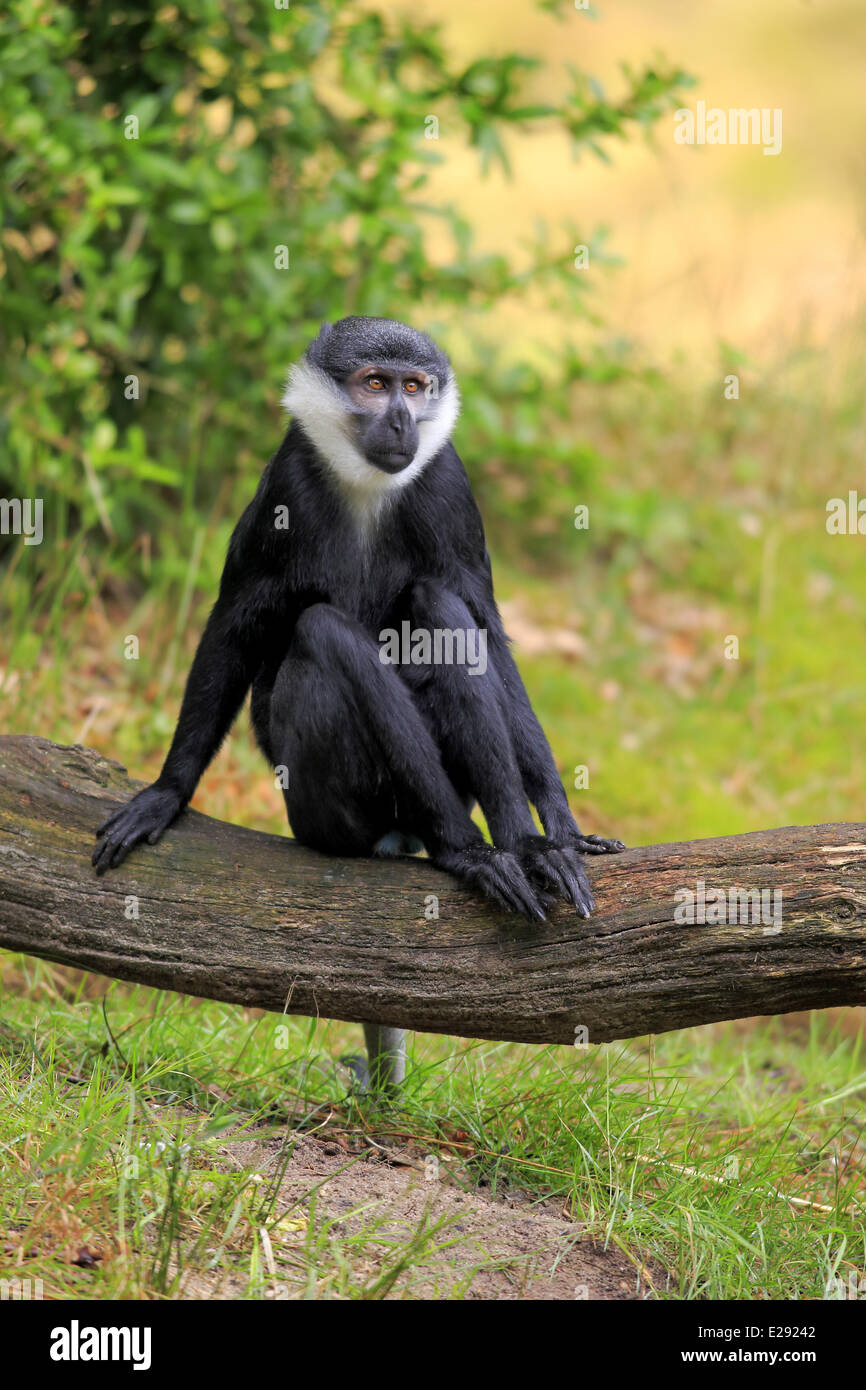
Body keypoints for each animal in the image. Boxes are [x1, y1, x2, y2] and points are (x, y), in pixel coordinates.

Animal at [93, 317, 624, 920]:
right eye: (375, 384)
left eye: (413, 388)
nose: (400, 420)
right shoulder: (287, 481)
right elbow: (236, 628)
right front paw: (167, 792)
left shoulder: (449, 483)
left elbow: (485, 630)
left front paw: (560, 832)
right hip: (321, 811)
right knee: (325, 630)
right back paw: (463, 851)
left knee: (437, 603)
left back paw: (523, 846)